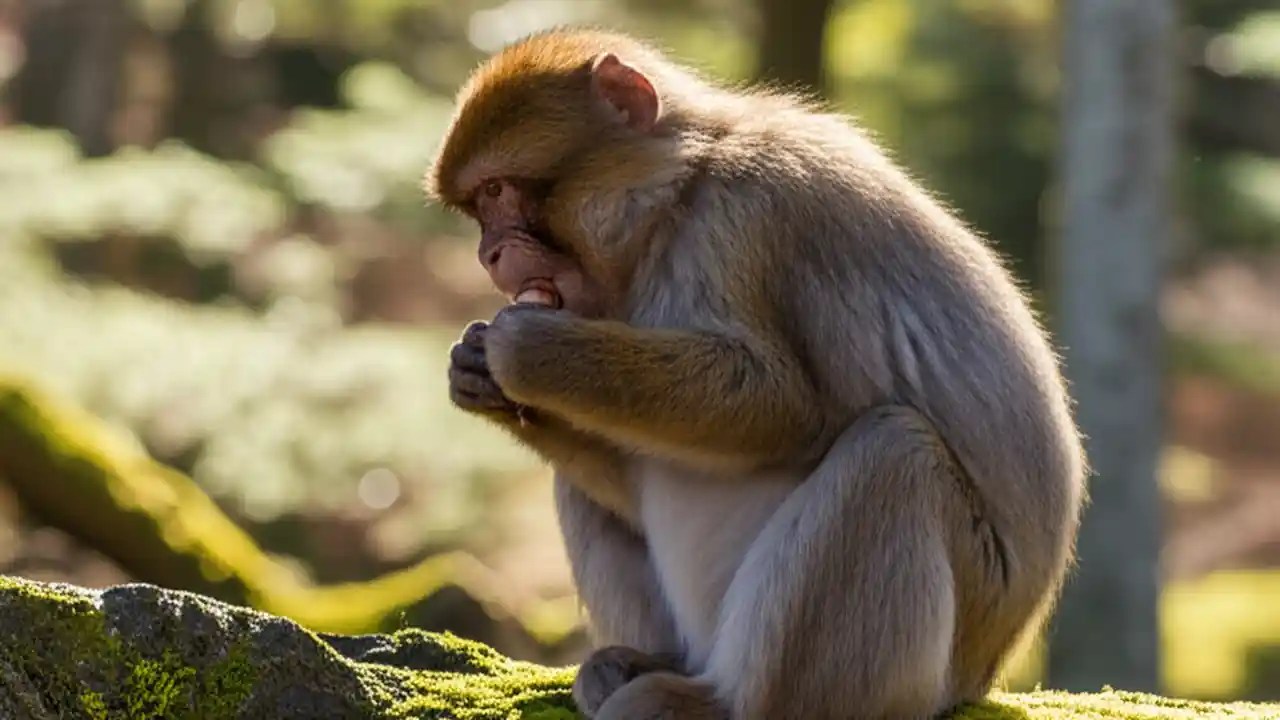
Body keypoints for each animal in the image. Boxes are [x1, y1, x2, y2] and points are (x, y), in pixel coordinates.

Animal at [429, 28, 1086, 720]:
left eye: (498, 192)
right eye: (480, 207)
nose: (489, 254)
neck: (677, 200)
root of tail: (986, 673)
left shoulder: (750, 211)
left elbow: (784, 406)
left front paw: (527, 350)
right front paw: (476, 377)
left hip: (950, 635)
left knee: (895, 453)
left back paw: (716, 703)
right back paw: (644, 661)